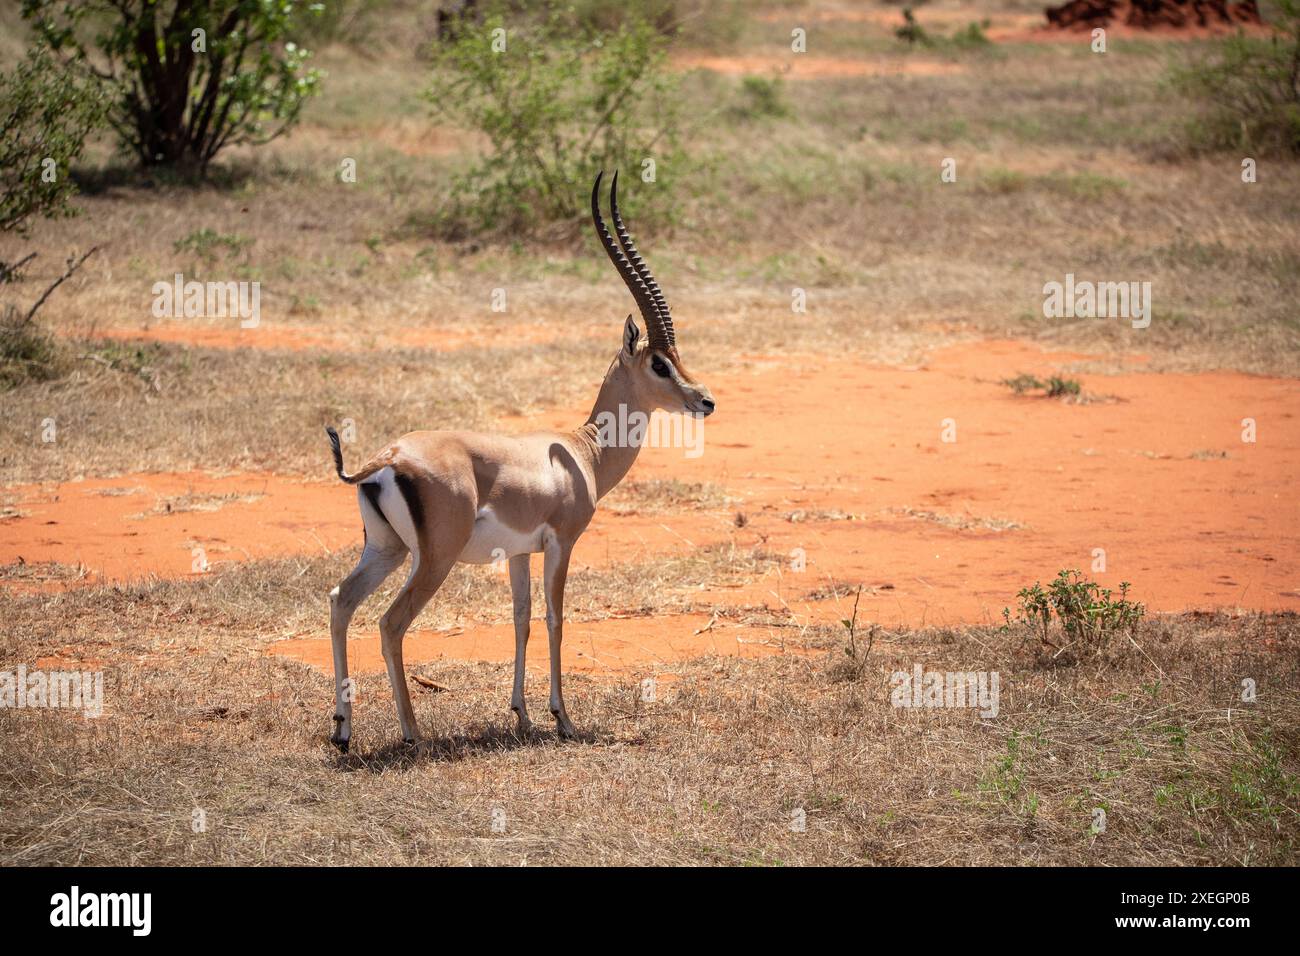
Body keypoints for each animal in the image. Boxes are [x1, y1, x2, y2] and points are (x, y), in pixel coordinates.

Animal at [324, 172, 715, 750]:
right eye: (660, 363)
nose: (705, 401)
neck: (584, 452)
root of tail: (385, 459)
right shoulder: (561, 542)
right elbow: (556, 617)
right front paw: (562, 718)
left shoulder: (517, 554)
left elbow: (521, 617)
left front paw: (522, 715)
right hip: (432, 559)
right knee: (391, 623)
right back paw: (413, 733)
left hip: (386, 549)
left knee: (340, 601)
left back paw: (343, 730)